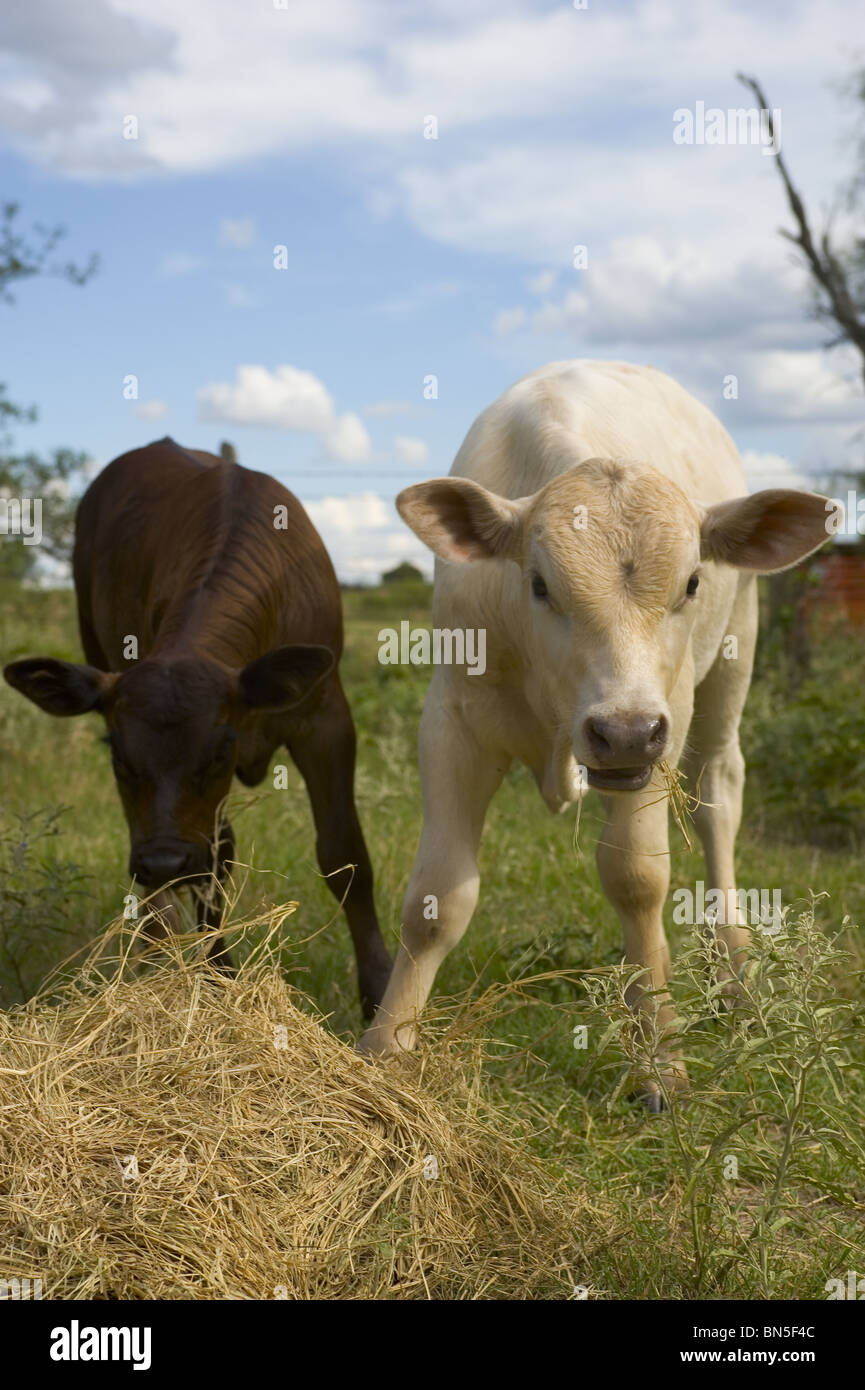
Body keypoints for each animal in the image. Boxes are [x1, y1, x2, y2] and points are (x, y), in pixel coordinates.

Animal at [3, 437, 392, 1015]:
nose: (165, 861)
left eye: (219, 751)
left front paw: (381, 998)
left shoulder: (326, 719)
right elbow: (205, 865)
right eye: (117, 753)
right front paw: (210, 977)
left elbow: (345, 856)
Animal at [358, 360, 833, 1106]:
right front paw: (385, 1047)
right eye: (538, 584)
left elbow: (638, 882)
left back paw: (734, 977)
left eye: (691, 582)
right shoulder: (452, 722)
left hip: (729, 671)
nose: (623, 731)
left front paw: (659, 1057)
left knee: (717, 800)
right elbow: (437, 898)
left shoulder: (660, 731)